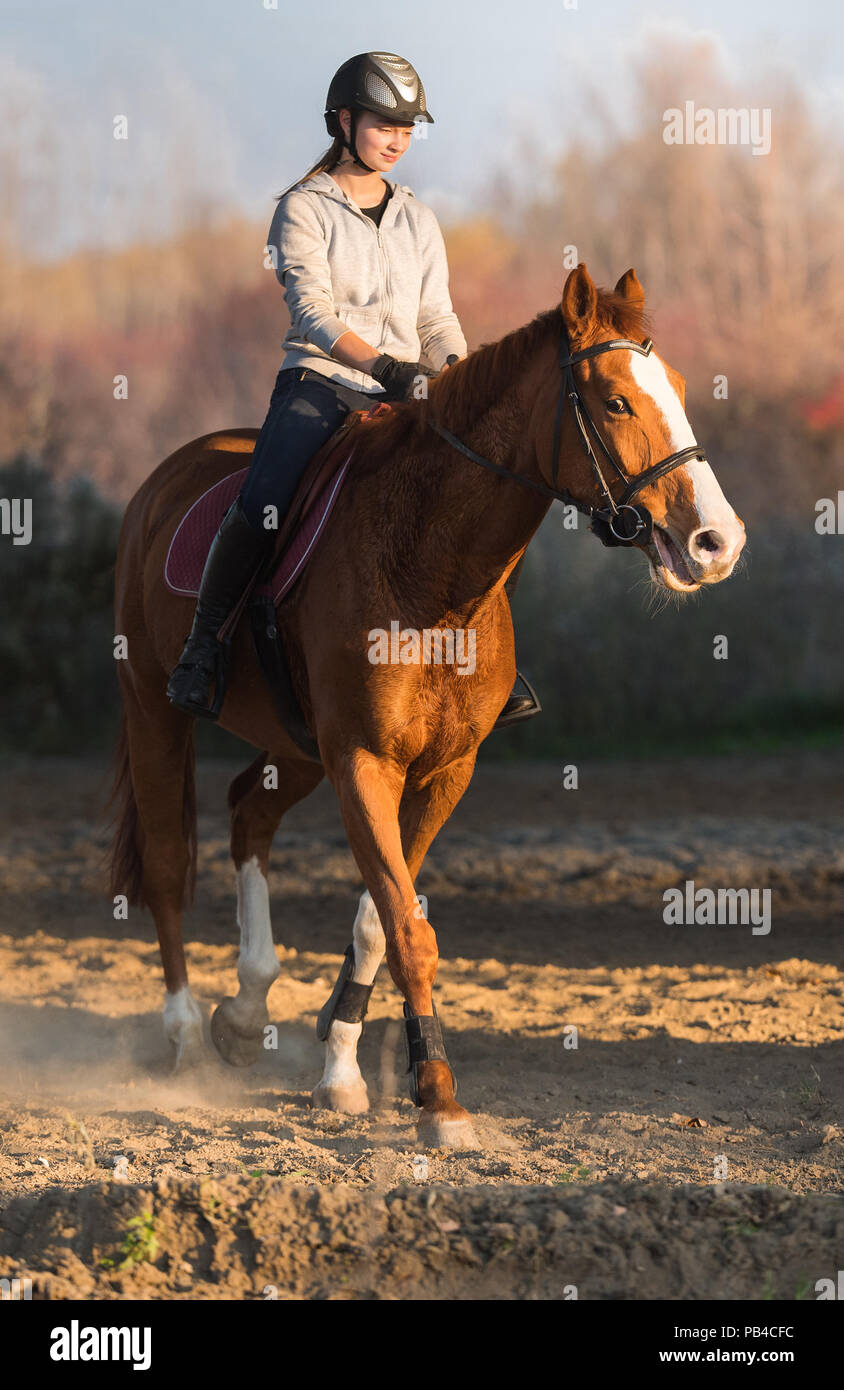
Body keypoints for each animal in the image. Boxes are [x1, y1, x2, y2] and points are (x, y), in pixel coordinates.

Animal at [107, 264, 746, 1149]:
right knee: (169, 863)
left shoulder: (443, 770)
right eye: (616, 401)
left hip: (298, 746)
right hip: (155, 709)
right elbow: (408, 927)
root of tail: (169, 475)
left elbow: (382, 917)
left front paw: (344, 1072)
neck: (435, 572)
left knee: (247, 813)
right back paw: (186, 1038)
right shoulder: (364, 762)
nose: (718, 542)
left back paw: (243, 1010)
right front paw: (438, 1101)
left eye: (679, 389)